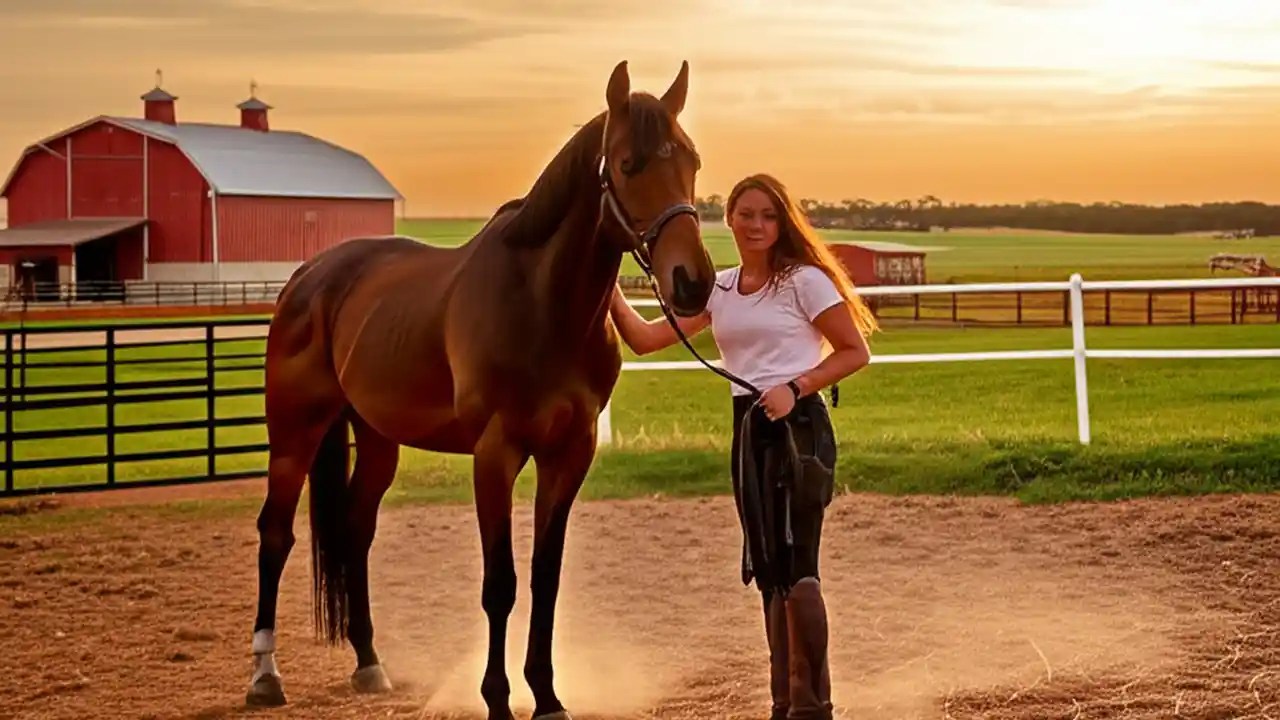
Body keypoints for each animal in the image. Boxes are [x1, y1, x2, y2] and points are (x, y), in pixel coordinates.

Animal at [243, 60, 717, 720]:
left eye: (692, 160)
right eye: (628, 164)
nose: (693, 282)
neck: (544, 304)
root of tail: (308, 277)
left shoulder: (569, 454)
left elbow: (545, 577)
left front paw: (547, 695)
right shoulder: (495, 454)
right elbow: (501, 585)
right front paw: (497, 697)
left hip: (377, 438)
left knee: (356, 529)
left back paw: (369, 663)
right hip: (295, 434)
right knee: (276, 534)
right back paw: (265, 674)